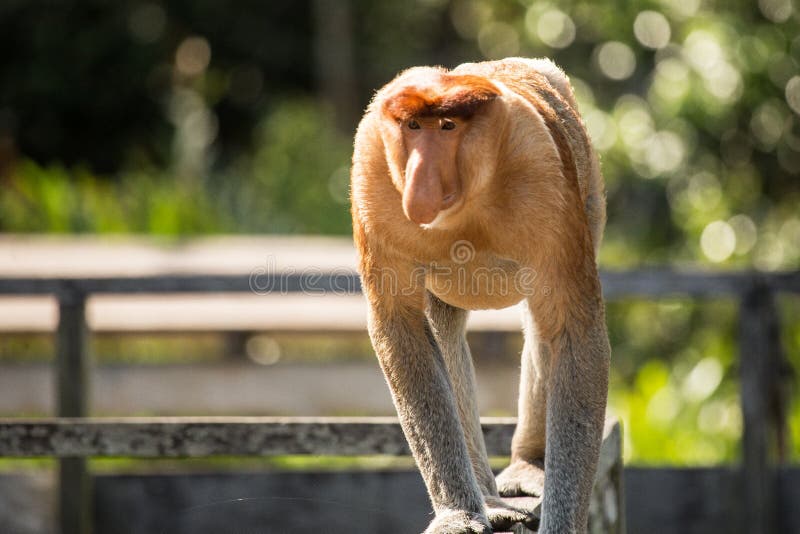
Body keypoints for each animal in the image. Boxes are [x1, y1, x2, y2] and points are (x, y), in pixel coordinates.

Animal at [350, 57, 610, 533]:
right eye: (413, 126)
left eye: (448, 126)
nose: (420, 184)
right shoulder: (372, 171)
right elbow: (399, 322)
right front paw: (457, 515)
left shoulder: (542, 172)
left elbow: (574, 331)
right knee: (445, 329)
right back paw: (487, 501)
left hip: (587, 192)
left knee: (542, 325)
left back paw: (529, 469)